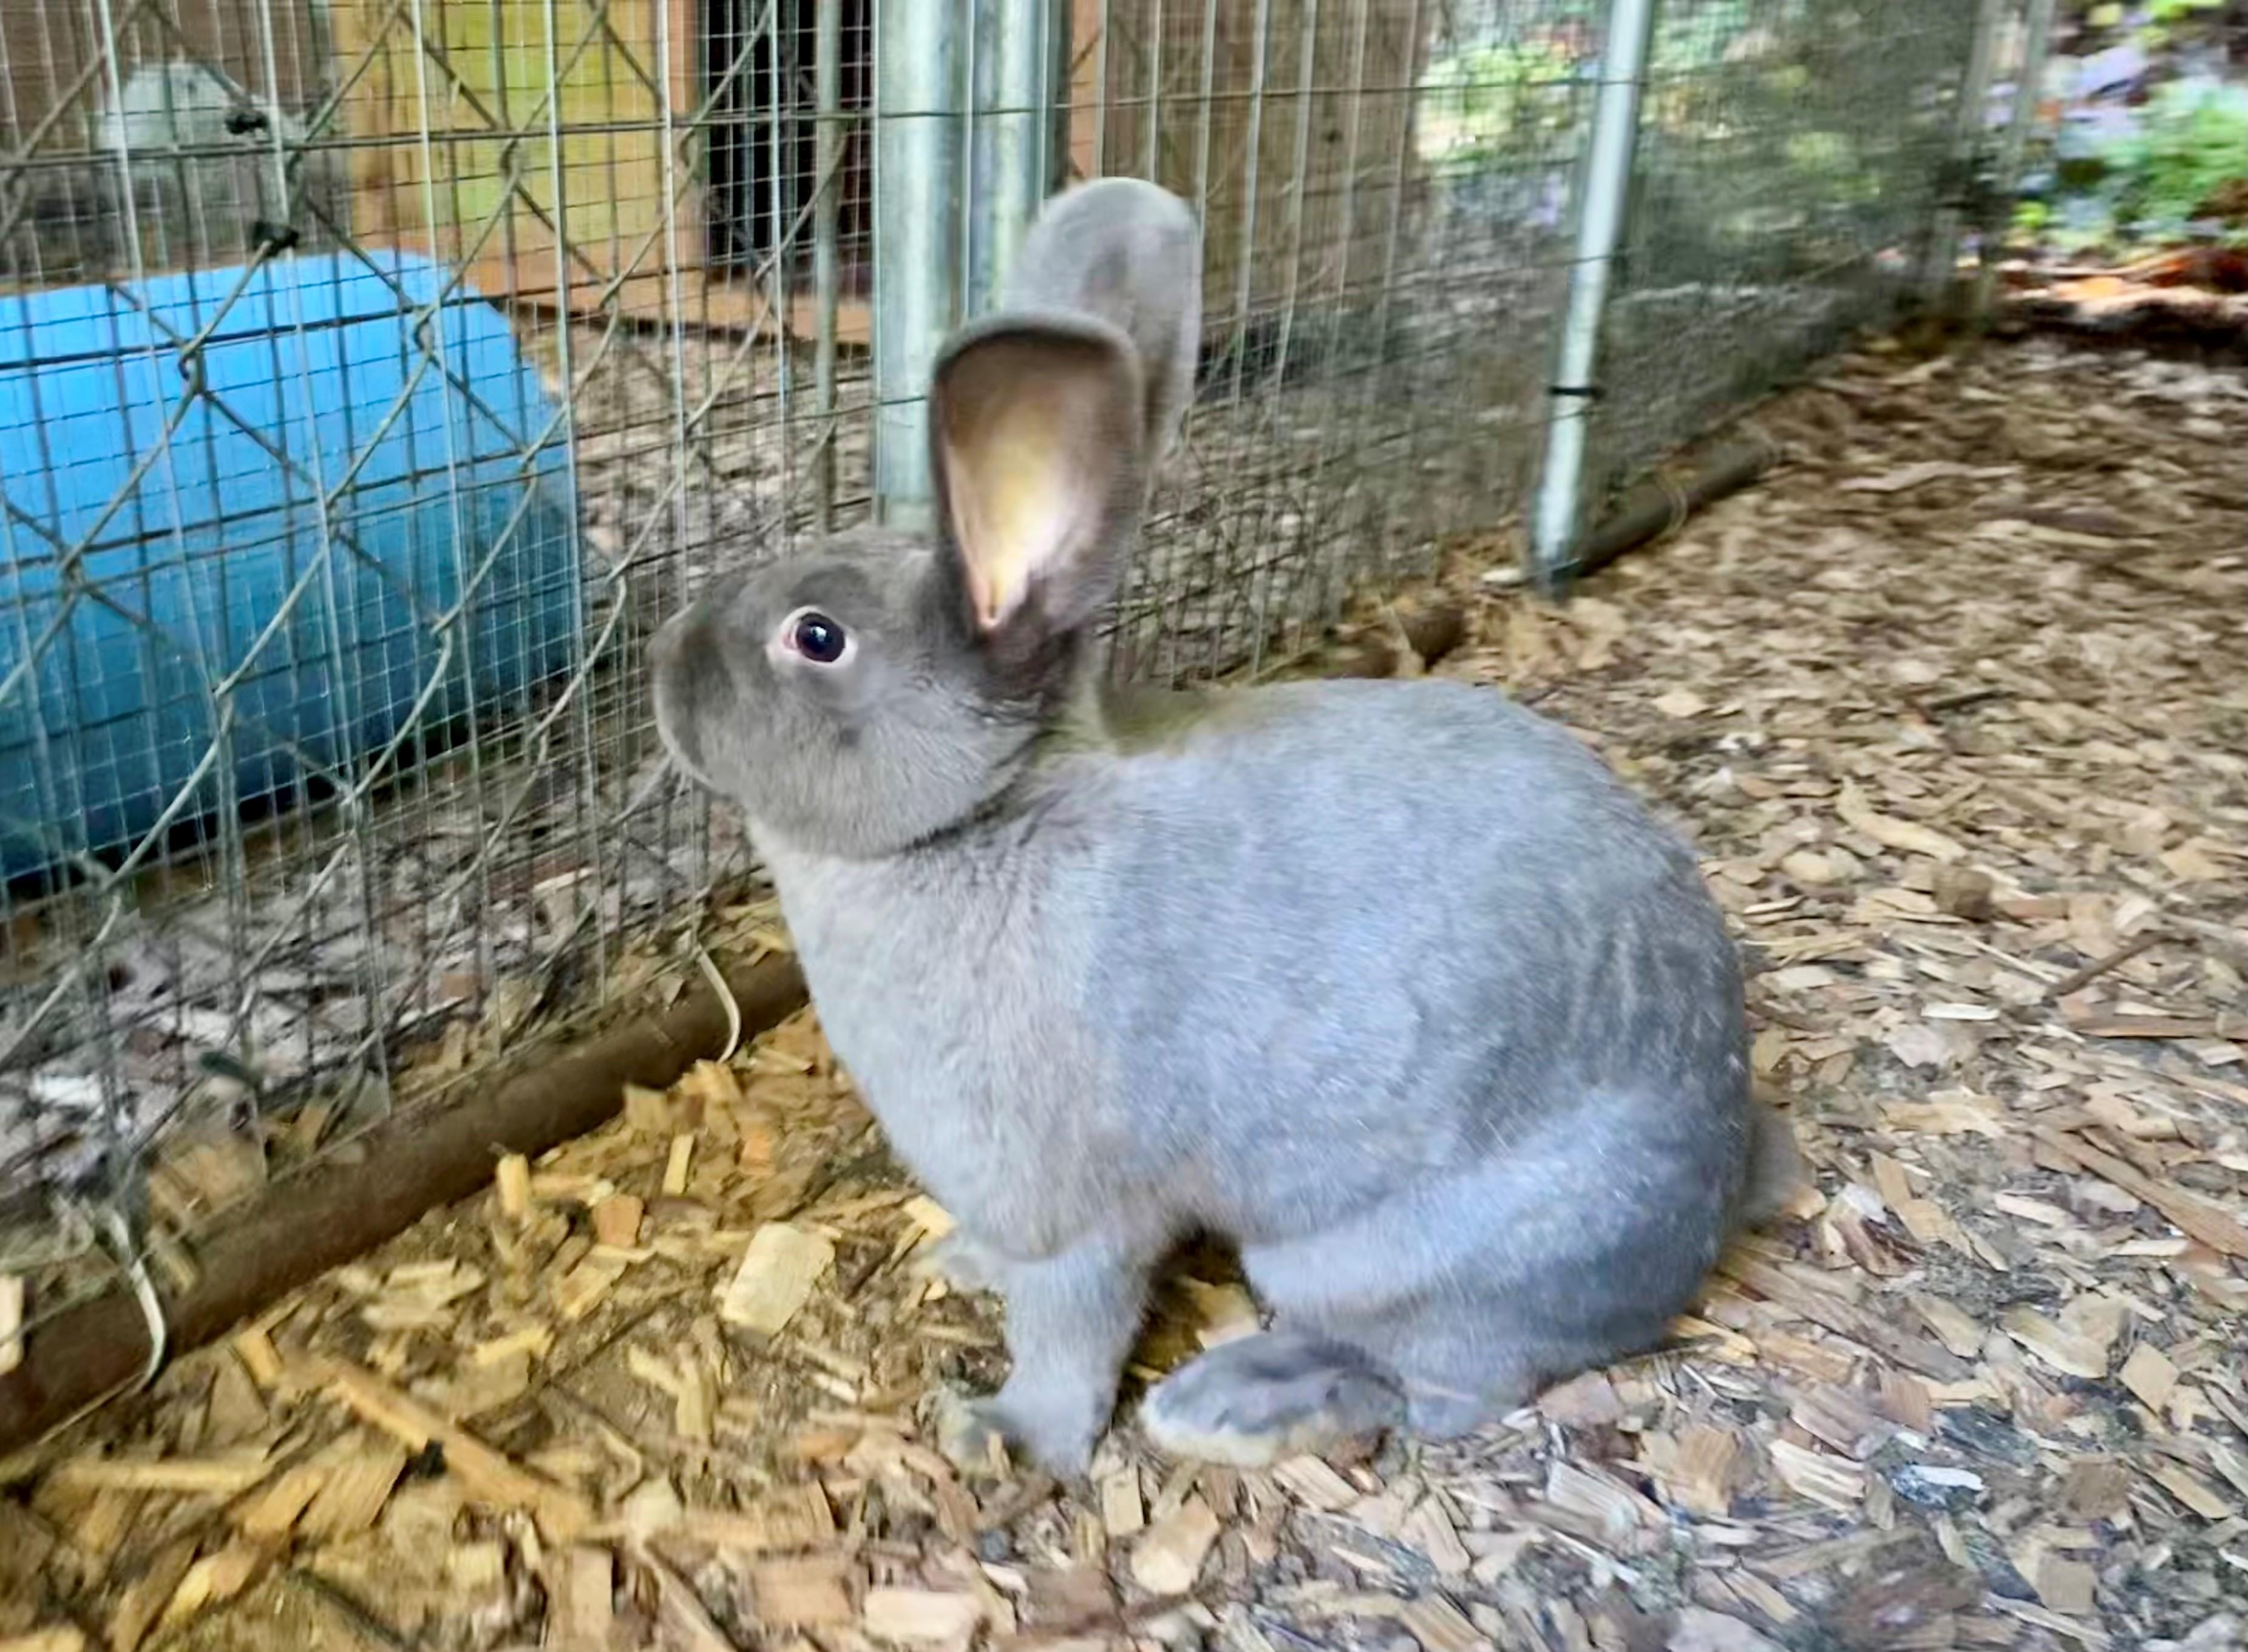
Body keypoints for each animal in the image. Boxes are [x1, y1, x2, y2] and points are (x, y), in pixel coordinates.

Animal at [651, 176, 1785, 1477]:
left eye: (817, 636)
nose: (663, 664)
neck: (983, 818)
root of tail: (1705, 1209)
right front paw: (956, 1261)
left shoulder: (1075, 1216)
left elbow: (1070, 1330)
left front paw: (1005, 1434)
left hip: (1373, 1258)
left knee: (1440, 1387)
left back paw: (1233, 1405)